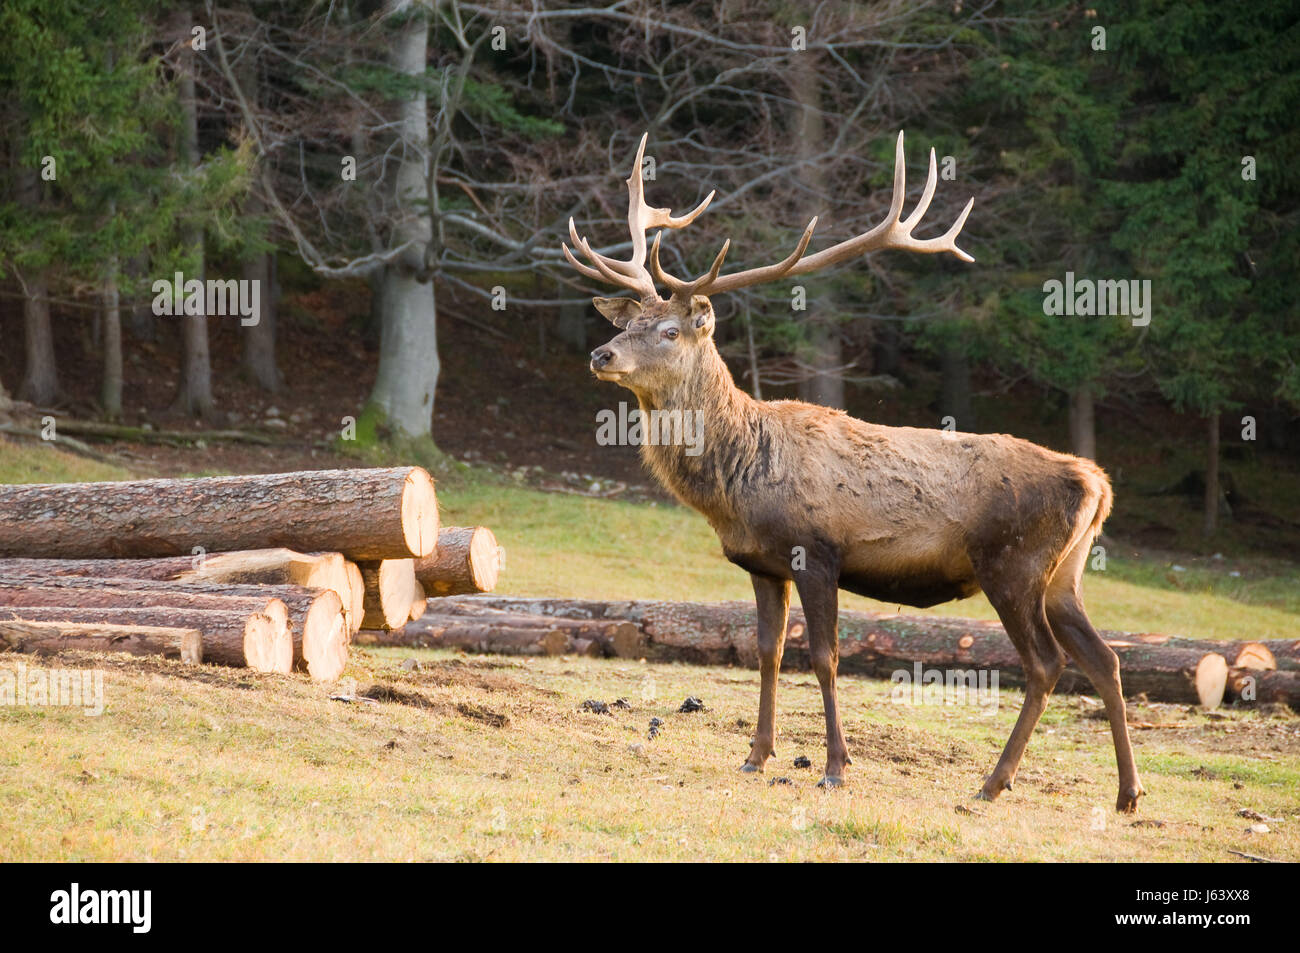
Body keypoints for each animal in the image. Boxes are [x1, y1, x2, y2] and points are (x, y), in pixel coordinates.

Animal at [563, 132, 1144, 813]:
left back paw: (993, 782)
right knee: (1106, 659)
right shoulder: (762, 564)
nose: (601, 353)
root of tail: (1097, 483)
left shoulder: (817, 550)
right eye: (625, 323)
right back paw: (1127, 793)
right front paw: (756, 755)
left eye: (669, 330)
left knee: (1047, 664)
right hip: (1064, 574)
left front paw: (835, 767)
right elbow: (766, 653)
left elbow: (824, 657)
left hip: (1012, 562)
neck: (739, 482)